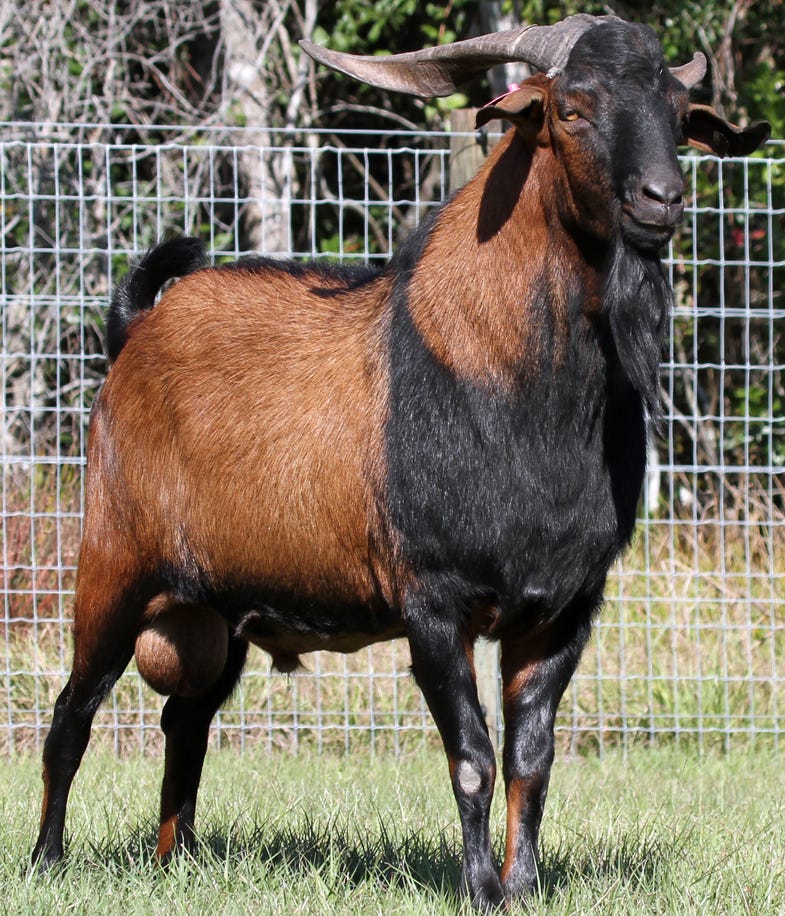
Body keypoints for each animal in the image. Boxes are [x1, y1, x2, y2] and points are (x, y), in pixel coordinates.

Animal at [32, 14, 769, 910]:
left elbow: (531, 759)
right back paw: (47, 861)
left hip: (220, 602)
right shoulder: (432, 602)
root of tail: (136, 329)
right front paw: (480, 890)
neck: (515, 394)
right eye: (569, 108)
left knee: (187, 722)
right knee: (71, 716)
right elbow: (473, 760)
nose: (660, 200)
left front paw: (524, 887)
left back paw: (179, 859)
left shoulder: (564, 609)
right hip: (113, 563)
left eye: (676, 110)